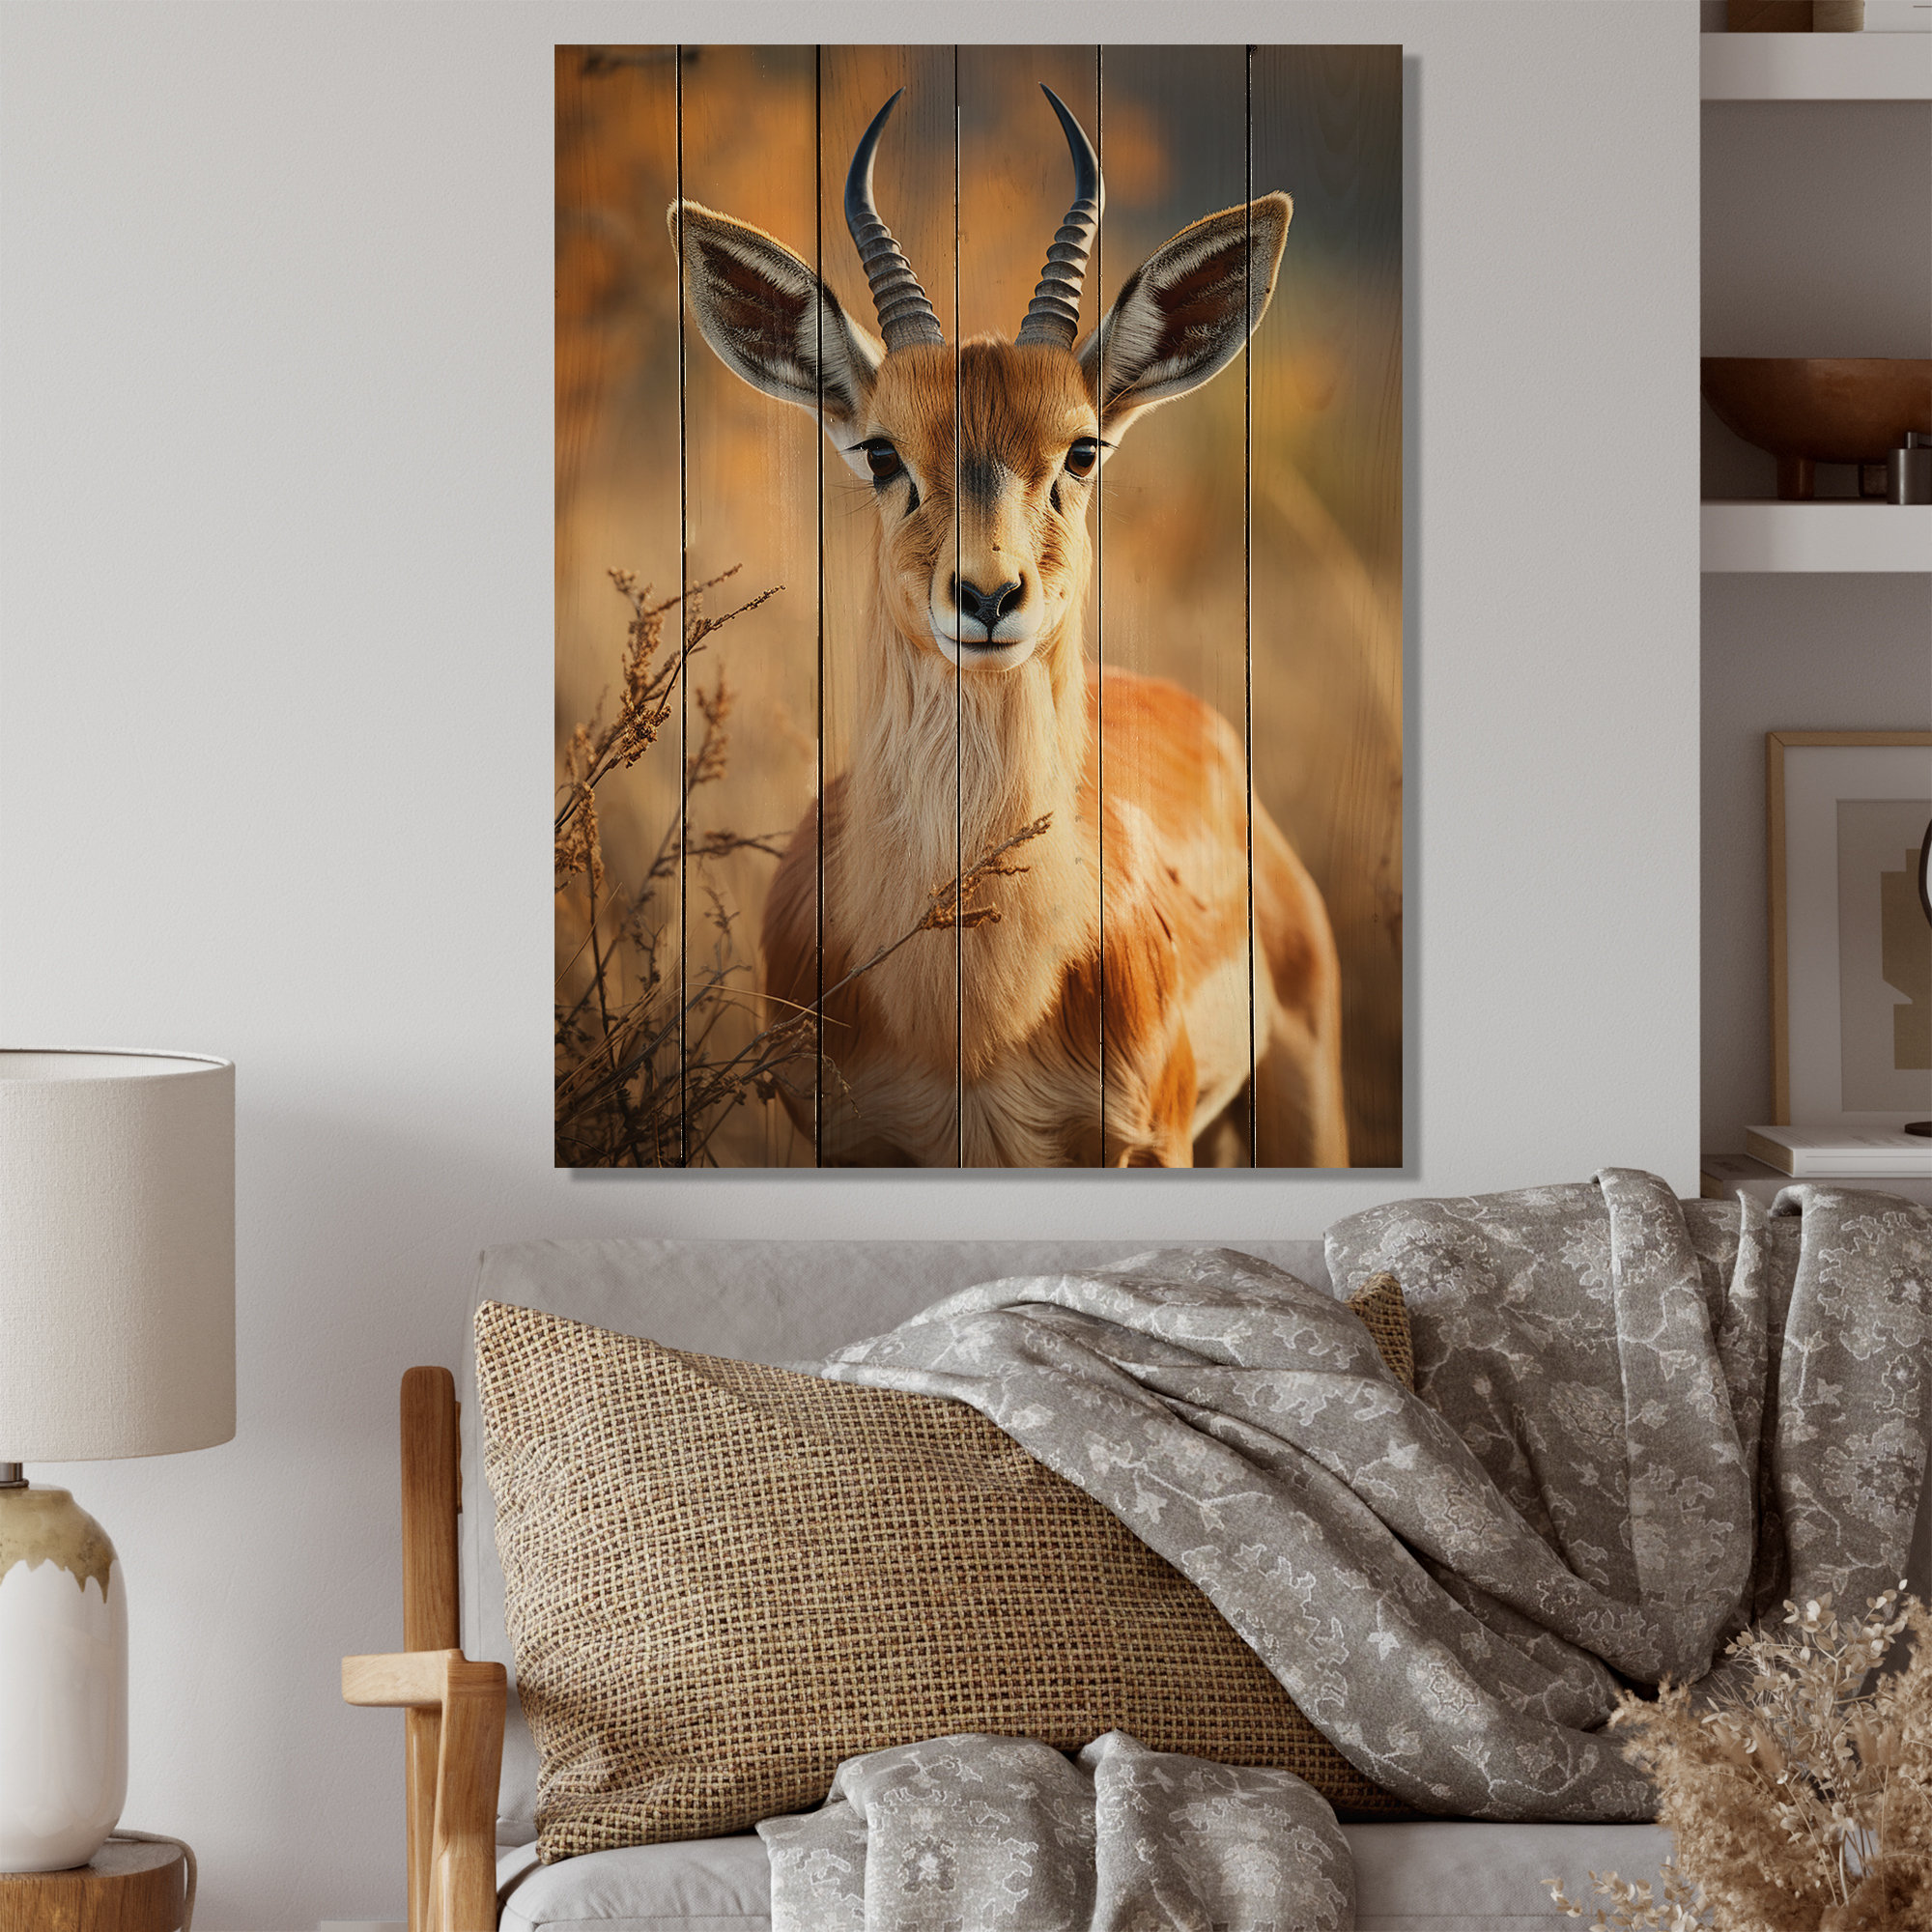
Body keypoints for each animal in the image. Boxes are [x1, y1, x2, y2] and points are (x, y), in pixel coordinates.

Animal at [672, 88, 1347, 1167]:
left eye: (1080, 449)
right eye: (881, 451)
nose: (987, 596)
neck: (976, 1022)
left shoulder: (1147, 1142)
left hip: (1299, 1093)